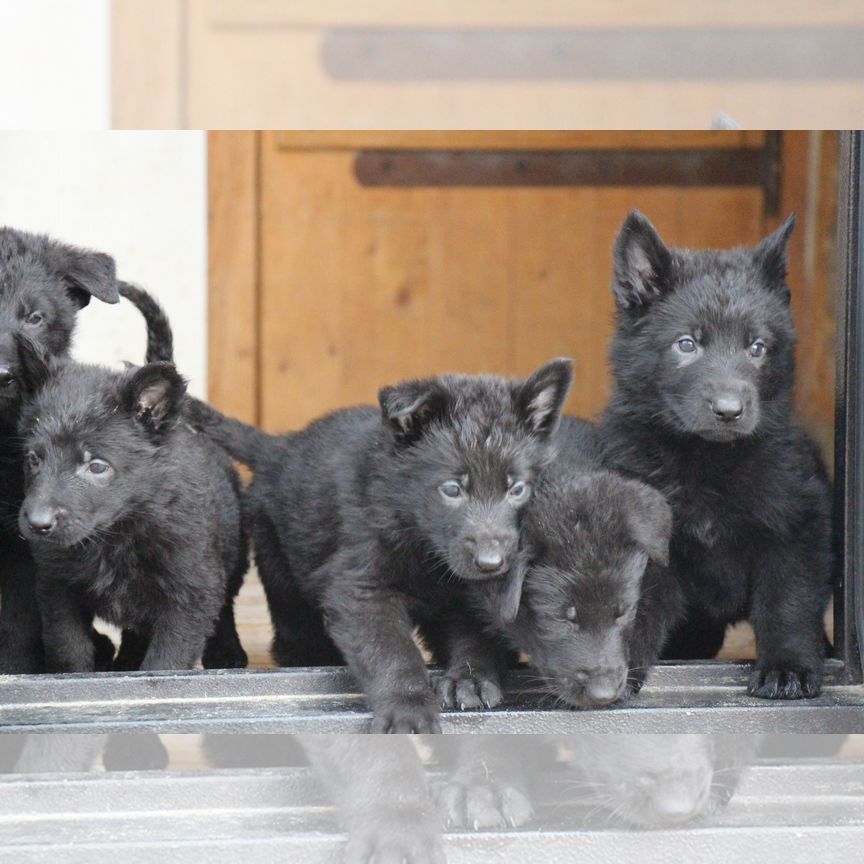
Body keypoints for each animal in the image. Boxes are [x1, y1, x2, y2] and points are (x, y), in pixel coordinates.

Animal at [14, 344, 246, 676]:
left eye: (97, 466)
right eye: (34, 459)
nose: (37, 523)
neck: (115, 534)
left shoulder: (189, 595)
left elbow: (165, 663)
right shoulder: (58, 588)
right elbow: (69, 649)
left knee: (225, 607)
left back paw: (227, 652)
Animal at [186, 362, 572, 732]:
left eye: (517, 489)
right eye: (451, 489)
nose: (492, 563)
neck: (422, 541)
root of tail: (280, 447)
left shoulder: (465, 594)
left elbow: (473, 636)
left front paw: (471, 678)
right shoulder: (362, 587)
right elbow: (391, 651)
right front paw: (408, 706)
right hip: (281, 562)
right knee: (292, 627)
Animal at [600, 211, 832, 704]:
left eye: (756, 347)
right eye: (687, 344)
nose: (729, 411)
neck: (708, 461)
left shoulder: (796, 527)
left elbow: (788, 601)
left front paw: (788, 668)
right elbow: (630, 605)